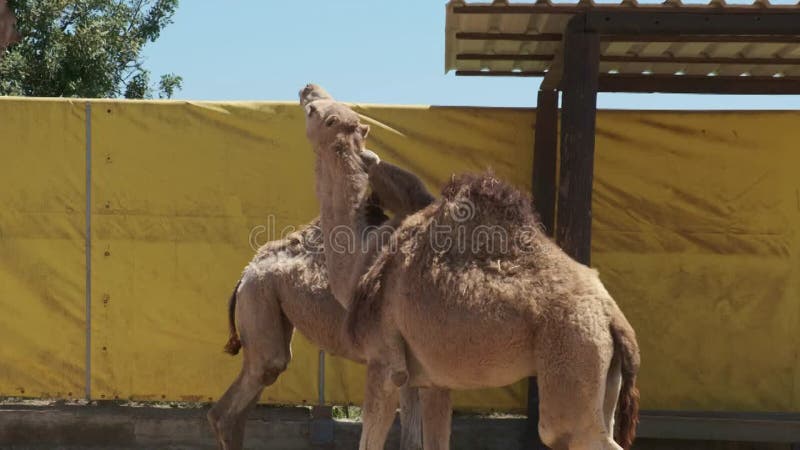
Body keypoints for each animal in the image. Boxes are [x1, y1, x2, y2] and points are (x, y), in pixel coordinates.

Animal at [300, 84, 641, 450]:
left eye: (316, 112)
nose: (308, 88)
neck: (362, 262)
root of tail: (614, 317)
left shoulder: (384, 362)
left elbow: (371, 440)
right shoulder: (430, 378)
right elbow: (426, 440)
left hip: (574, 355)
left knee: (568, 431)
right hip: (602, 373)